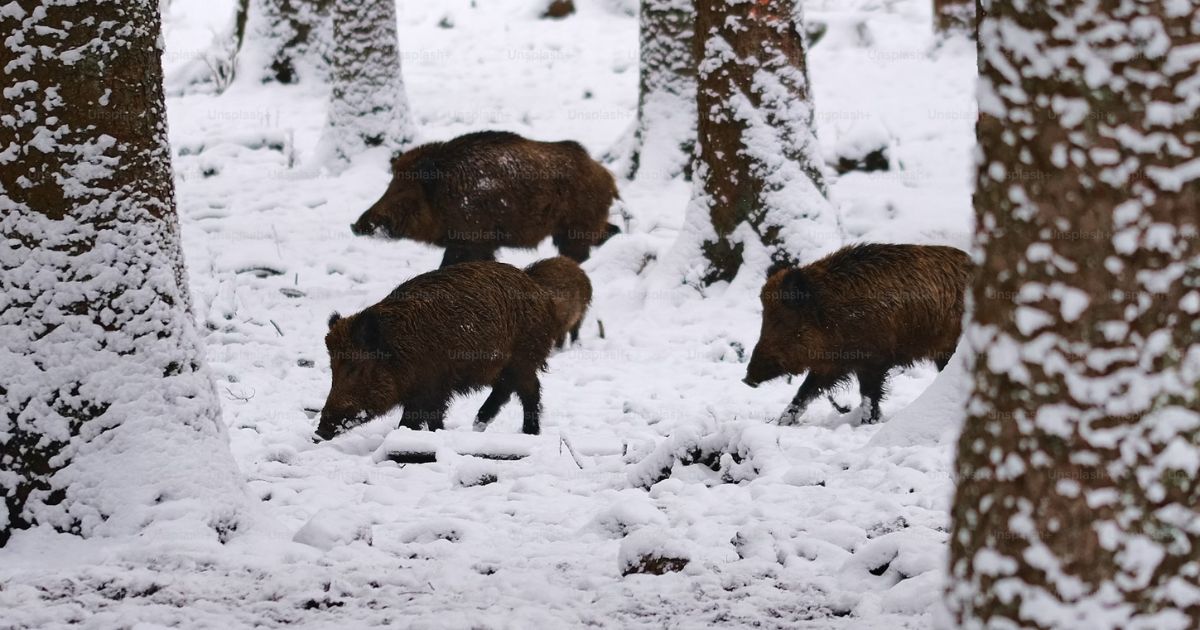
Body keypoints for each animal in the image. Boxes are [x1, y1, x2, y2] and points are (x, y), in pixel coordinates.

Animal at [315, 262, 558, 440]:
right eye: (332, 368)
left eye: (356, 367)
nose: (319, 432)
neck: (399, 350)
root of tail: (537, 288)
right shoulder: (435, 390)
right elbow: (434, 418)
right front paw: (437, 434)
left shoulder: (430, 387)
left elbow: (411, 421)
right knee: (506, 389)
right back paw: (478, 423)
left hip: (523, 359)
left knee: (530, 390)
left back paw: (528, 433)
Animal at [351, 130, 622, 268]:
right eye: (390, 185)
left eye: (400, 190)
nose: (355, 225)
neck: (443, 193)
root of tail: (606, 175)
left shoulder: (472, 239)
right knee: (610, 231)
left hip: (575, 227)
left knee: (581, 253)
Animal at [743, 243, 973, 425]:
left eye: (782, 321)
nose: (747, 379)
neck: (829, 314)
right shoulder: (832, 364)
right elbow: (804, 391)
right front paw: (781, 423)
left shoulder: (874, 360)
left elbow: (868, 395)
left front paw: (868, 423)